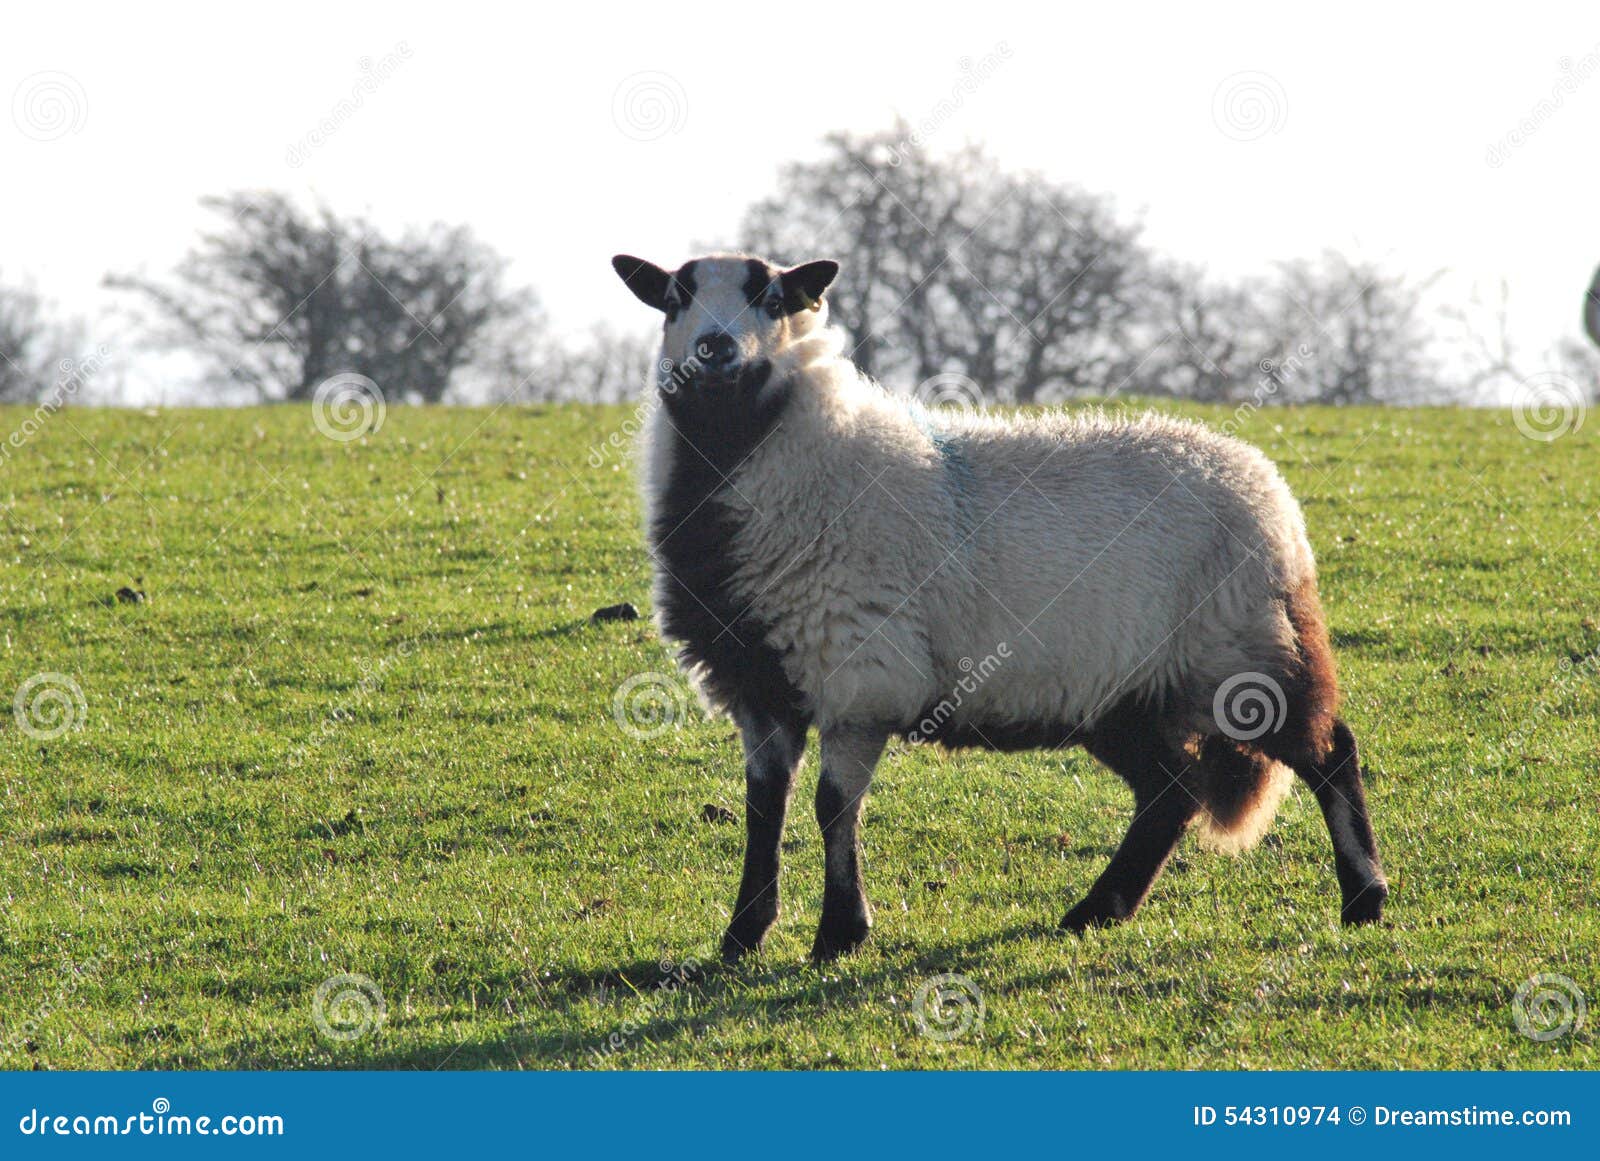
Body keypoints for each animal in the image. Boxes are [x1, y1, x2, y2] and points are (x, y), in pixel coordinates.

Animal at [612, 251, 1388, 963]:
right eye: (675, 299)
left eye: (772, 300)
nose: (716, 349)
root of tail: (1267, 487)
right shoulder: (760, 683)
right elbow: (762, 808)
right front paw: (741, 936)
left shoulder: (862, 676)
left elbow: (834, 806)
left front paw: (839, 933)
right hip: (1125, 688)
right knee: (1171, 791)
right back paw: (1097, 910)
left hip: (1242, 651)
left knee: (1329, 754)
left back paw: (1365, 899)